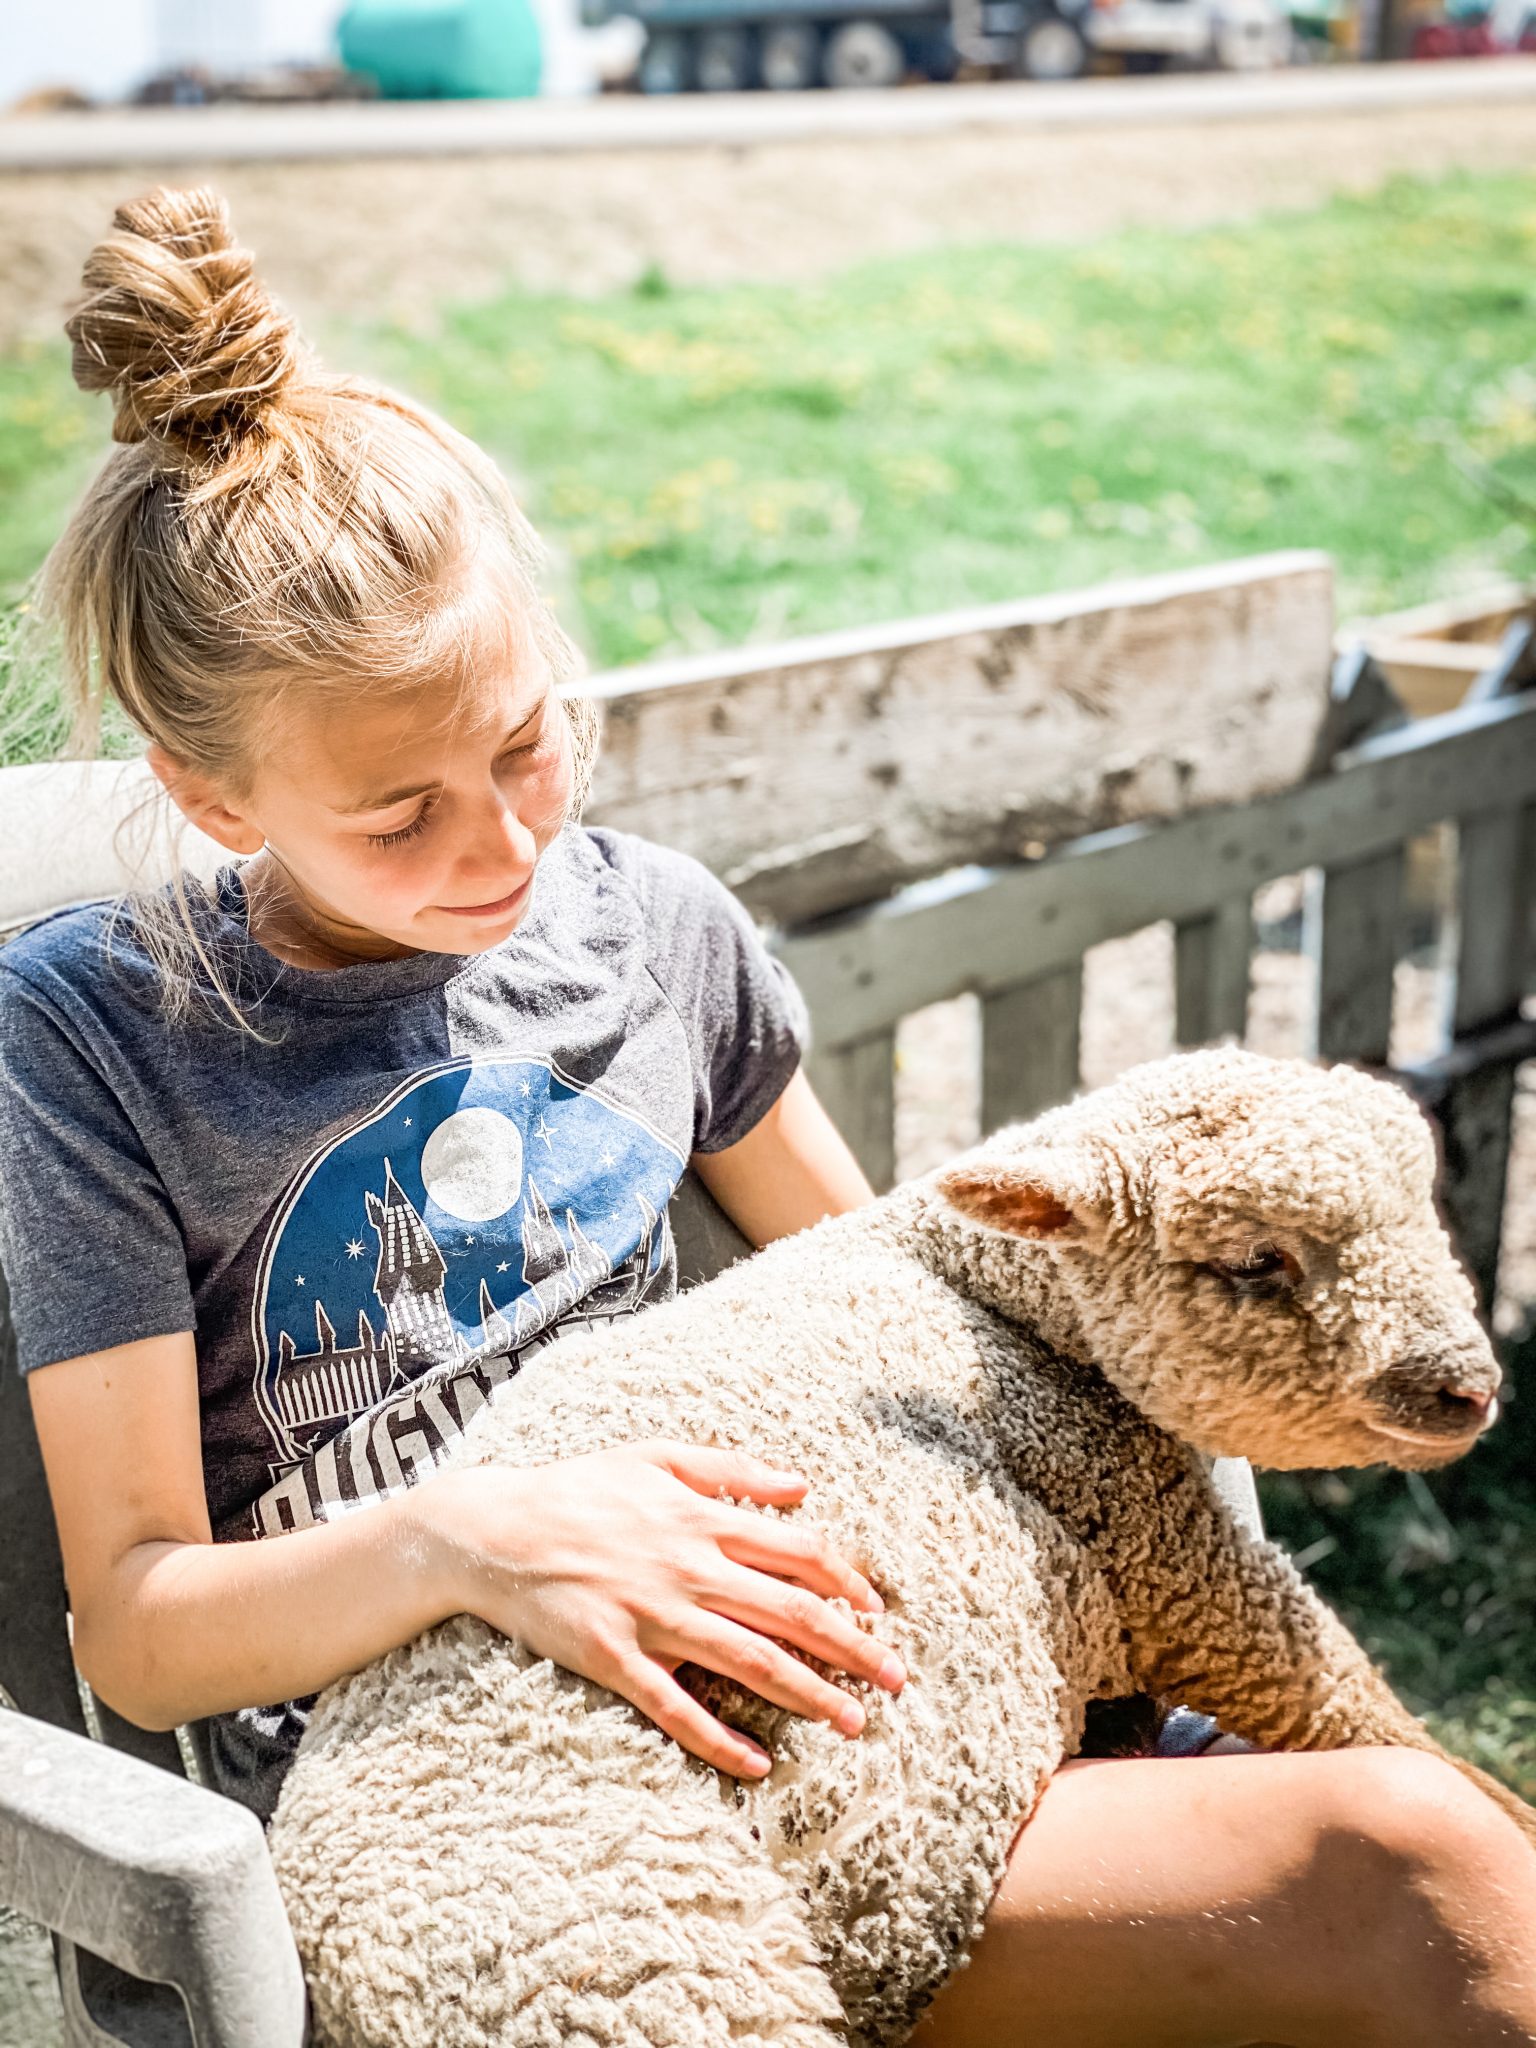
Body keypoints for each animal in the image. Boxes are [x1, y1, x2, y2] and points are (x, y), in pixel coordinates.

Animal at [266, 1046, 1534, 2048]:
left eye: (1425, 1206)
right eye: (1258, 1261)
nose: (1466, 1388)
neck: (976, 1283)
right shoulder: (1158, 1549)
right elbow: (1360, 1710)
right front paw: (1507, 1814)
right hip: (659, 1982)